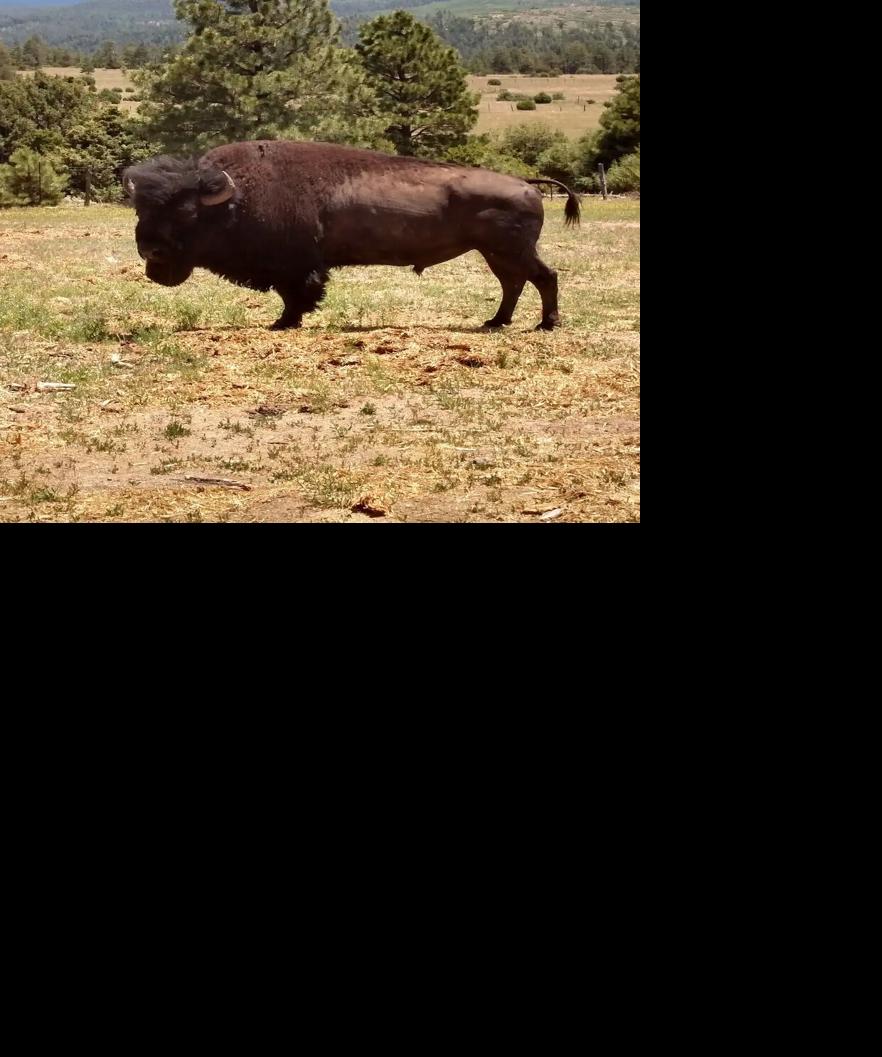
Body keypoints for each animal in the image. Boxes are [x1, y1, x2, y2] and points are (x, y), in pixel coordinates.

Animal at [123, 140, 580, 331]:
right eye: (141, 210)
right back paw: (496, 322)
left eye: (185, 213)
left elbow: (296, 294)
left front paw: (283, 323)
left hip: (510, 249)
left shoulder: (296, 267)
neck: (236, 198)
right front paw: (286, 321)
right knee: (514, 283)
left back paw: (546, 325)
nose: (149, 249)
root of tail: (524, 183)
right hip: (494, 253)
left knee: (544, 277)